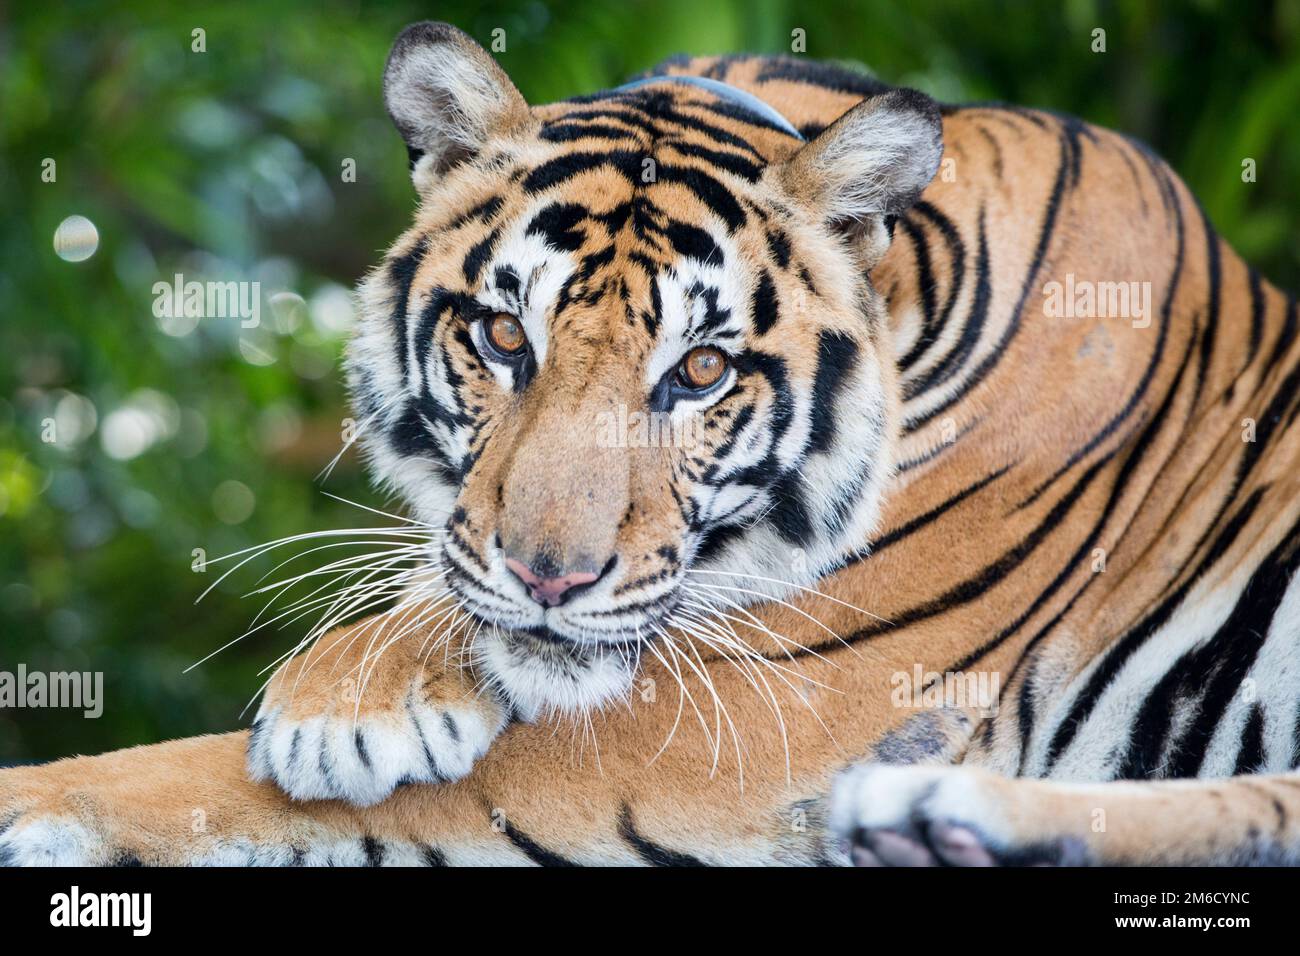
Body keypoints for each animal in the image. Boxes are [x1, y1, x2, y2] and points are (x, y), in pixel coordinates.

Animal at [3, 20, 1299, 867]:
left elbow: (204, 777)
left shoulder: (759, 716)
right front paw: (362, 689)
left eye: (702, 370)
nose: (551, 578)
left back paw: (945, 814)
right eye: (502, 335)